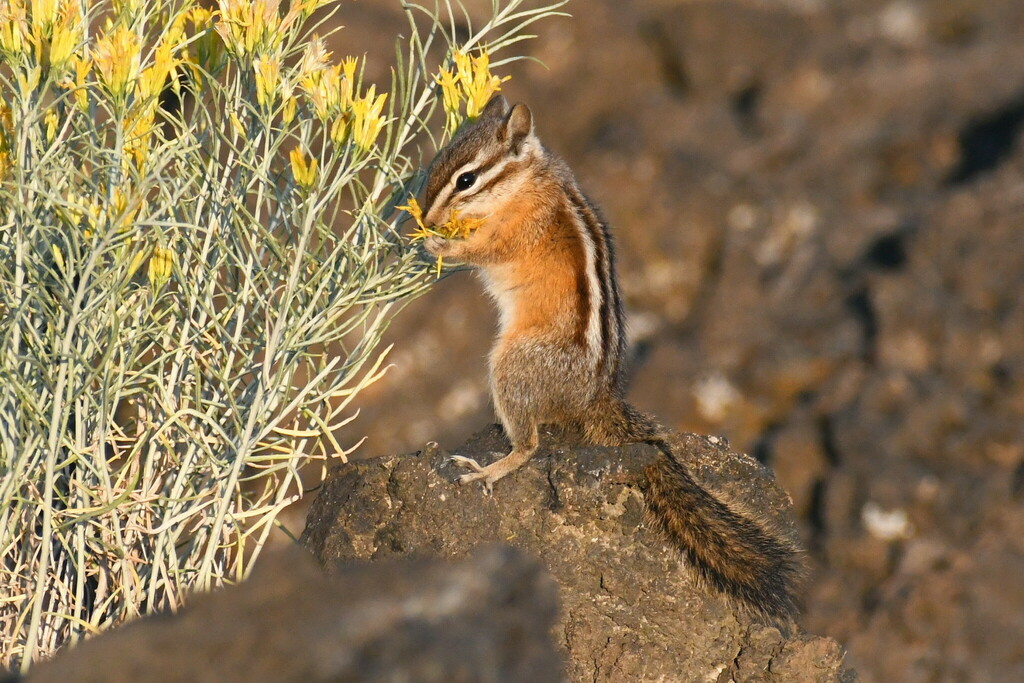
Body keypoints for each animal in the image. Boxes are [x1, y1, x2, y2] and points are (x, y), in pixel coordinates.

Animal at [419, 94, 803, 622]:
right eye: (439, 160)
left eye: (466, 179)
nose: (423, 215)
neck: (528, 182)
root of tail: (595, 397)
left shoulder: (517, 230)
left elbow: (482, 250)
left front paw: (435, 244)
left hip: (511, 364)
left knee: (531, 446)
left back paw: (489, 468)